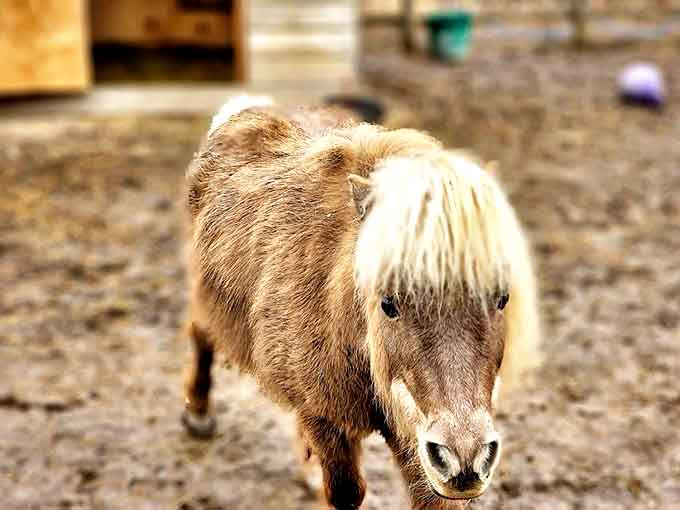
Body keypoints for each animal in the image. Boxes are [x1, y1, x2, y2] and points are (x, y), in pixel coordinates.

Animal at [181, 96, 540, 509]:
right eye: (388, 304)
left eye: (502, 297)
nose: (465, 461)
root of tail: (248, 107)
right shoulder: (326, 418)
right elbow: (345, 492)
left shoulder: (414, 440)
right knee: (200, 334)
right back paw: (199, 414)